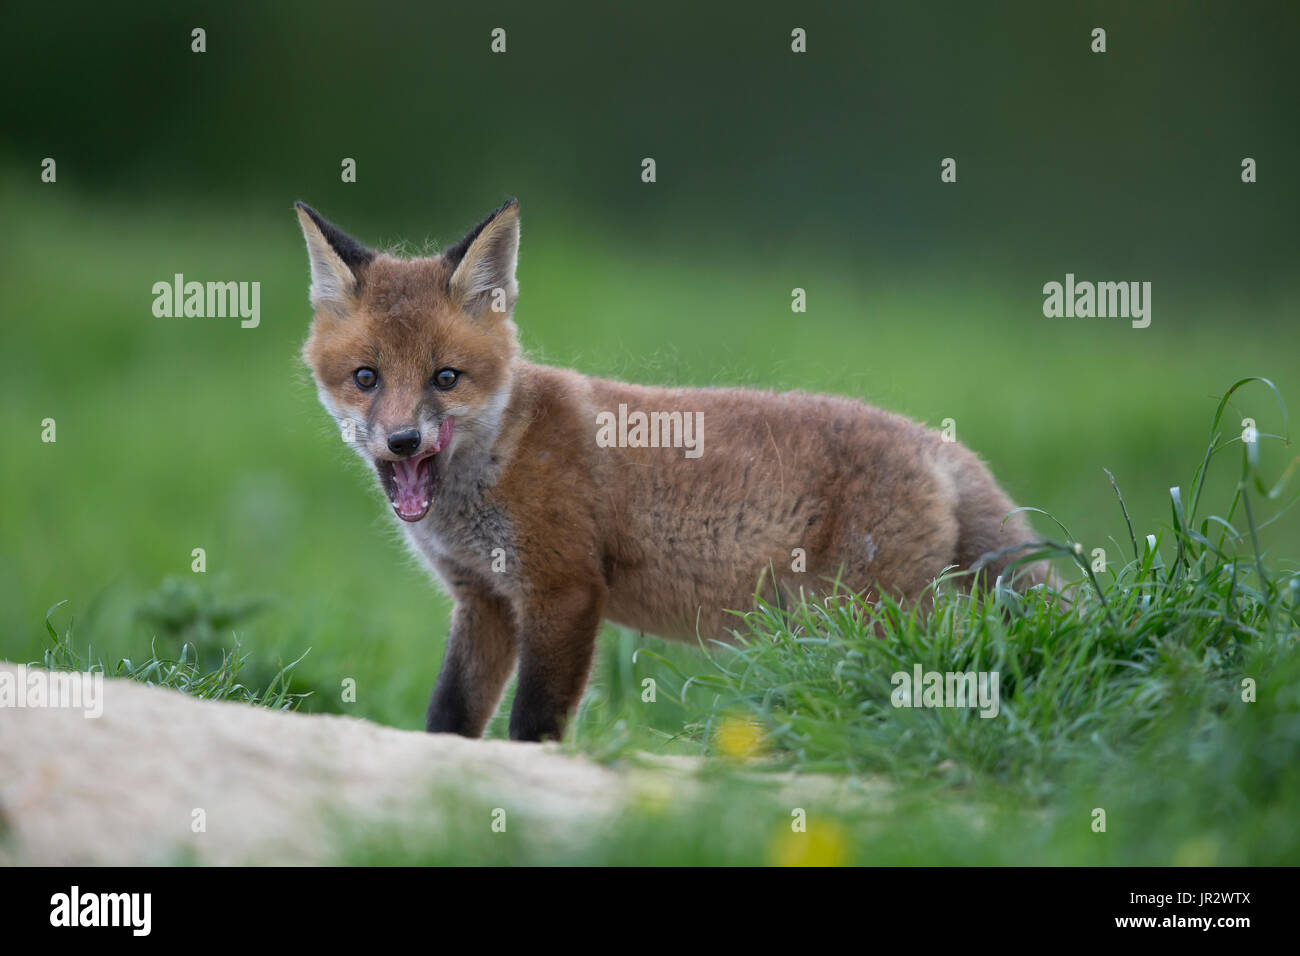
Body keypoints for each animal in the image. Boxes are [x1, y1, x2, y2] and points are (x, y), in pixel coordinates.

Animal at [295, 198, 1047, 742]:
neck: (496, 463)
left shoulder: (565, 590)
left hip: (862, 616)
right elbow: (448, 718)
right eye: (366, 378)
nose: (402, 441)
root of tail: (938, 443)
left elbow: (533, 726)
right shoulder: (484, 601)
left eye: (445, 378)